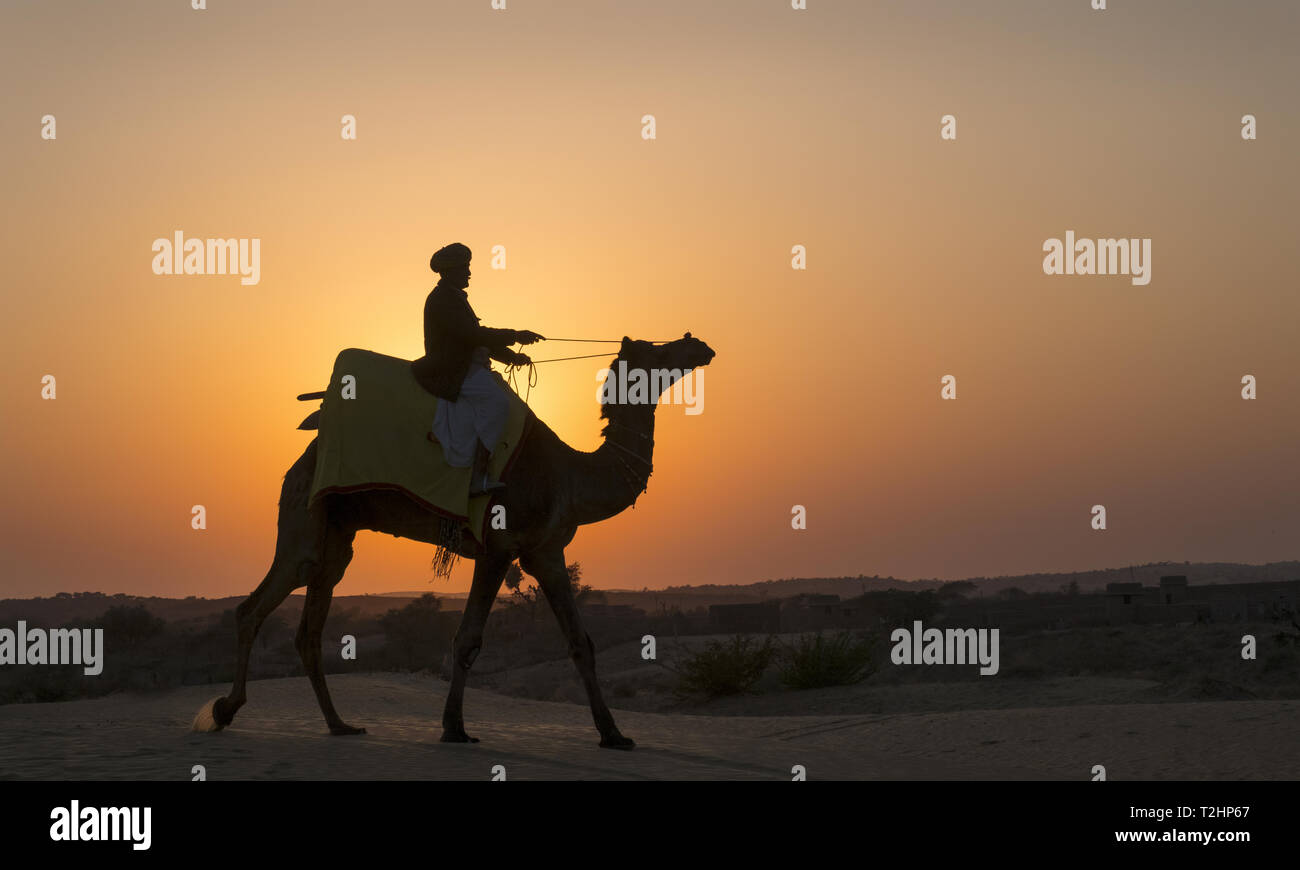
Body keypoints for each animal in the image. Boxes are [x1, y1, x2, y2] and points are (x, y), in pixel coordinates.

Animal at [193, 334, 715, 749]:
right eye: (656, 349)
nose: (699, 345)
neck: (569, 474)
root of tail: (306, 448)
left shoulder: (546, 551)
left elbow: (580, 642)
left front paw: (614, 734)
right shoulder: (499, 546)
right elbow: (467, 639)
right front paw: (454, 727)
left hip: (338, 530)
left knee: (311, 617)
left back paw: (339, 724)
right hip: (306, 512)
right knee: (262, 599)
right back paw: (223, 710)